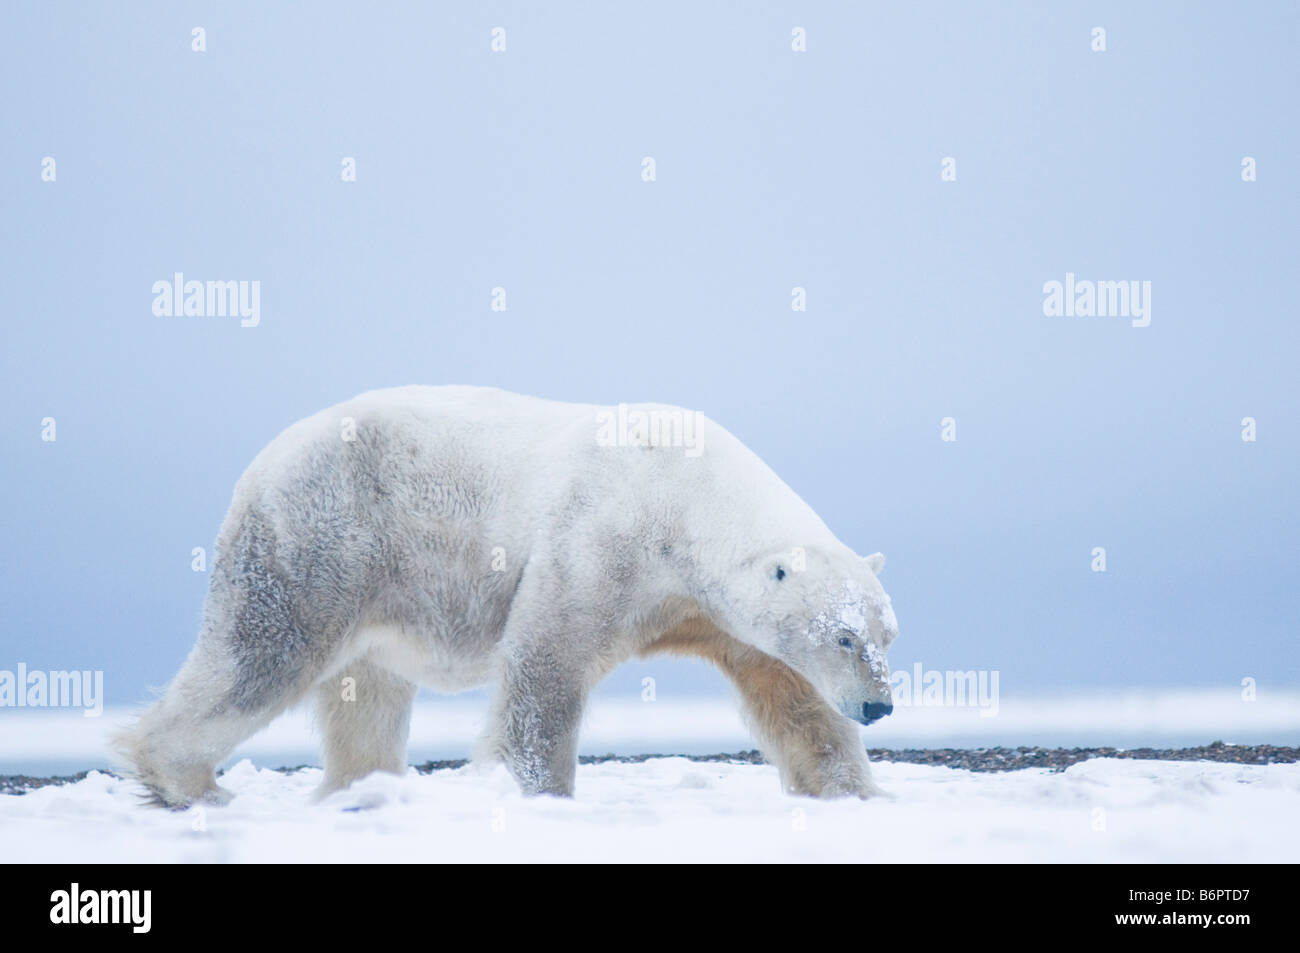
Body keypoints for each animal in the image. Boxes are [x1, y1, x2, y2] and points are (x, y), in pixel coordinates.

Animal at [113, 386, 898, 806]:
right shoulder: (600, 537)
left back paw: (364, 787)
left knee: (367, 693)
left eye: (887, 635)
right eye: (843, 636)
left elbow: (793, 696)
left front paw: (860, 791)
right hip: (323, 539)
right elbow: (546, 667)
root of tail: (263, 460)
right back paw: (187, 780)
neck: (686, 494)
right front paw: (537, 793)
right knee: (261, 652)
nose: (881, 705)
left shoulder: (711, 609)